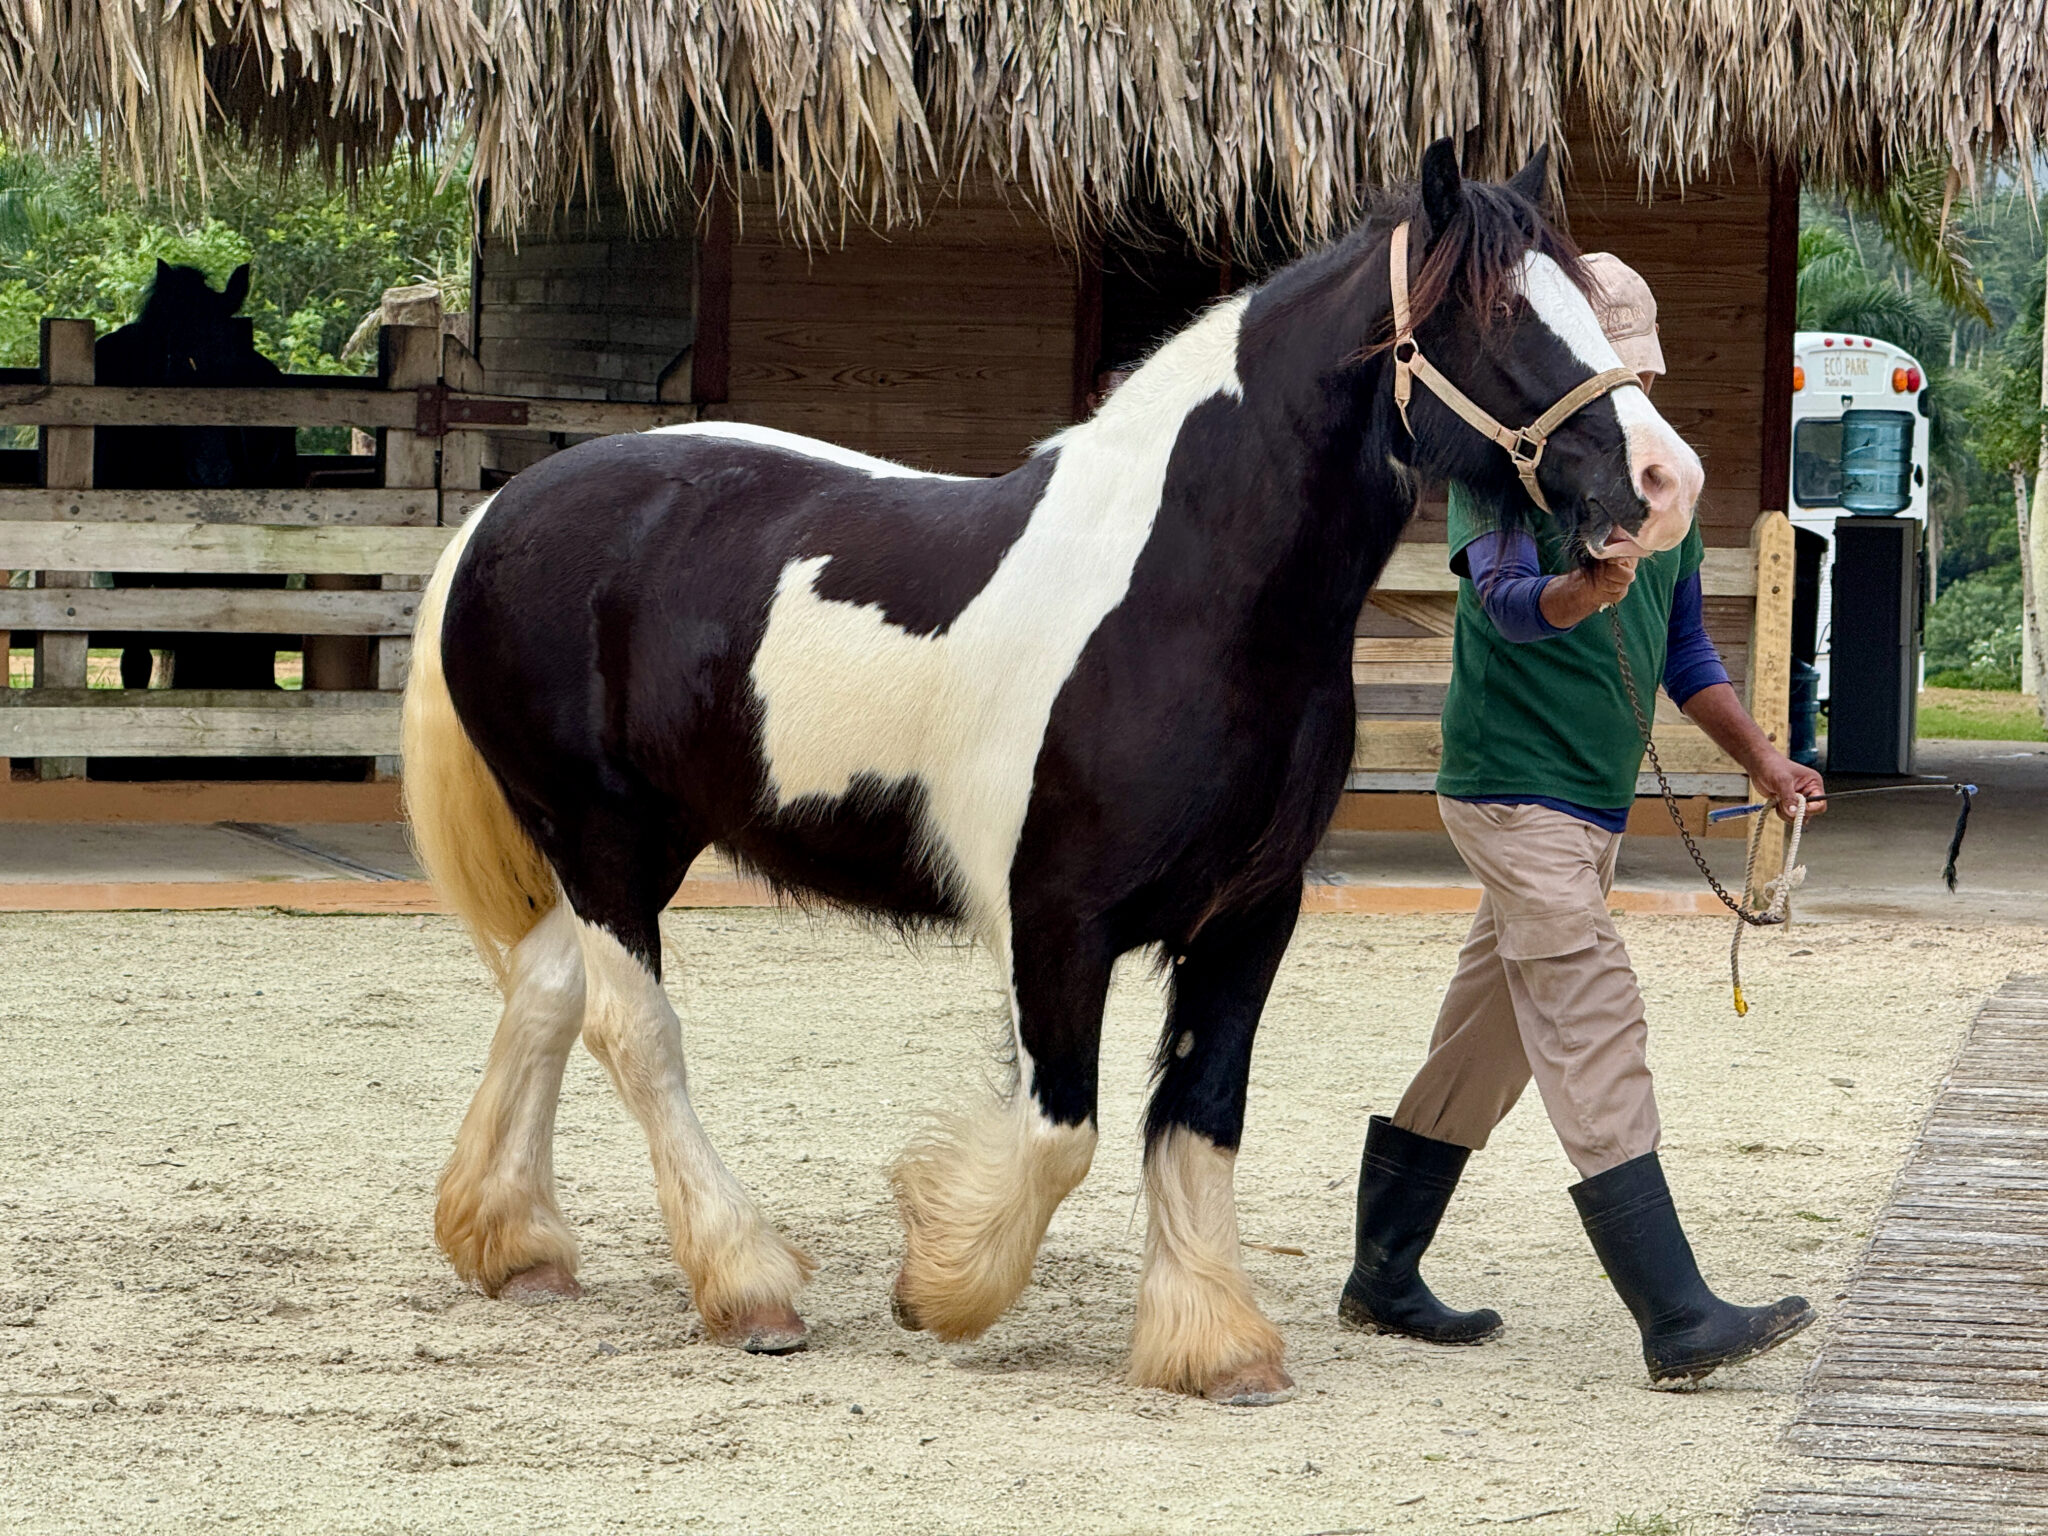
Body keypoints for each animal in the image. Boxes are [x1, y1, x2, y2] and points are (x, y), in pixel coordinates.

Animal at [400, 141, 1702, 1405]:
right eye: (1494, 310)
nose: (1661, 483)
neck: (1182, 597)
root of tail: (502, 513)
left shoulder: (1247, 920)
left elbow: (1199, 1119)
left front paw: (1215, 1348)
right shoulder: (1054, 920)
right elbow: (1060, 1132)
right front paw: (940, 1288)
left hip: (636, 843)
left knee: (545, 990)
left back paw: (514, 1247)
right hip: (601, 836)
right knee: (633, 1030)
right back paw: (746, 1285)